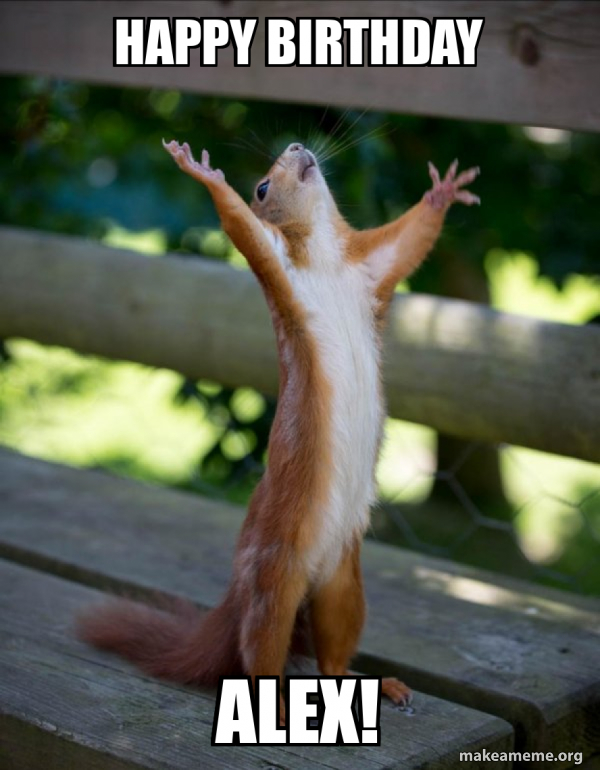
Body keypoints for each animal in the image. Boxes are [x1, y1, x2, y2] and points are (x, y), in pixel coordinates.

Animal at [77, 138, 479, 722]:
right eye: (262, 187)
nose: (296, 146)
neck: (327, 258)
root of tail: (239, 593)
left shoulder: (371, 267)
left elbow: (410, 240)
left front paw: (443, 192)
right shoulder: (277, 264)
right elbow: (240, 225)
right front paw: (204, 173)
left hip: (343, 586)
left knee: (332, 656)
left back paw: (374, 683)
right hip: (273, 584)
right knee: (259, 655)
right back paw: (281, 707)